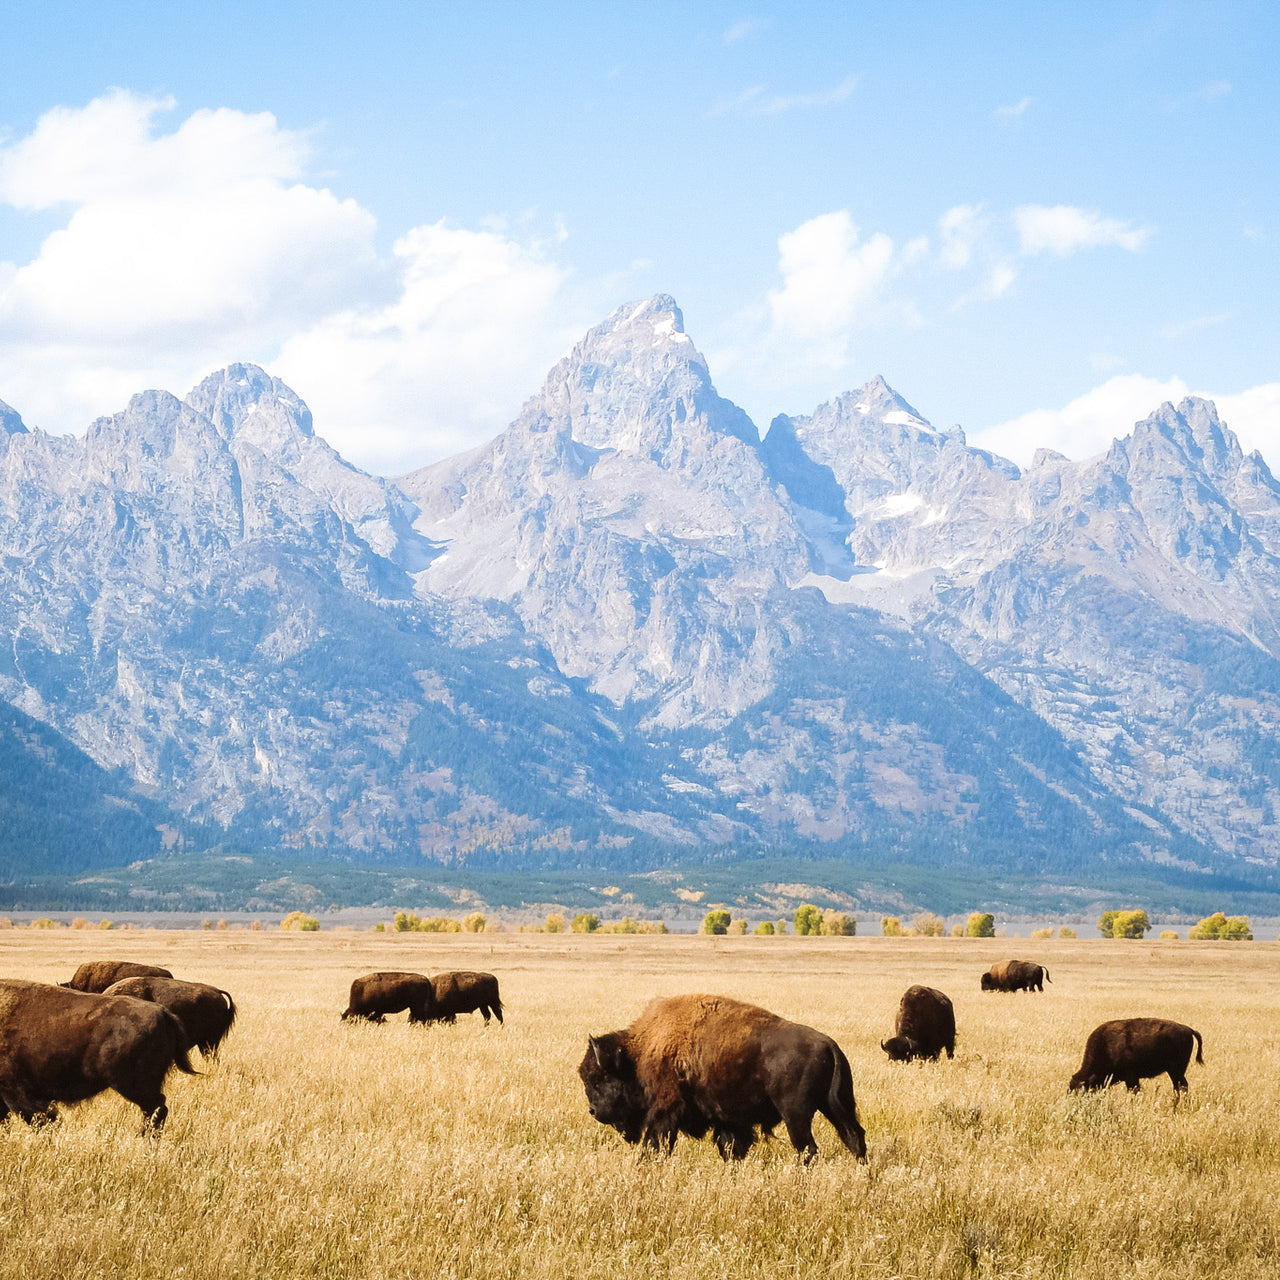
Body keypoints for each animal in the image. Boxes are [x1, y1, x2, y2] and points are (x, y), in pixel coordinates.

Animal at [579, 993, 866, 1163]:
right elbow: (730, 1146)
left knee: (807, 1147)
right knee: (853, 1136)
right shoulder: (728, 1120)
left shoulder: (665, 1109)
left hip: (796, 1112)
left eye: (598, 1079)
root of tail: (828, 1044)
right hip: (835, 1104)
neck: (639, 1051)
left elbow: (656, 1141)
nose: (593, 1111)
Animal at [1069, 1018, 1204, 1097]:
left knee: (1181, 1086)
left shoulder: (1131, 1077)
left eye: (1079, 1091)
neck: (1105, 1045)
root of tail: (1188, 1029)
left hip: (1175, 1070)